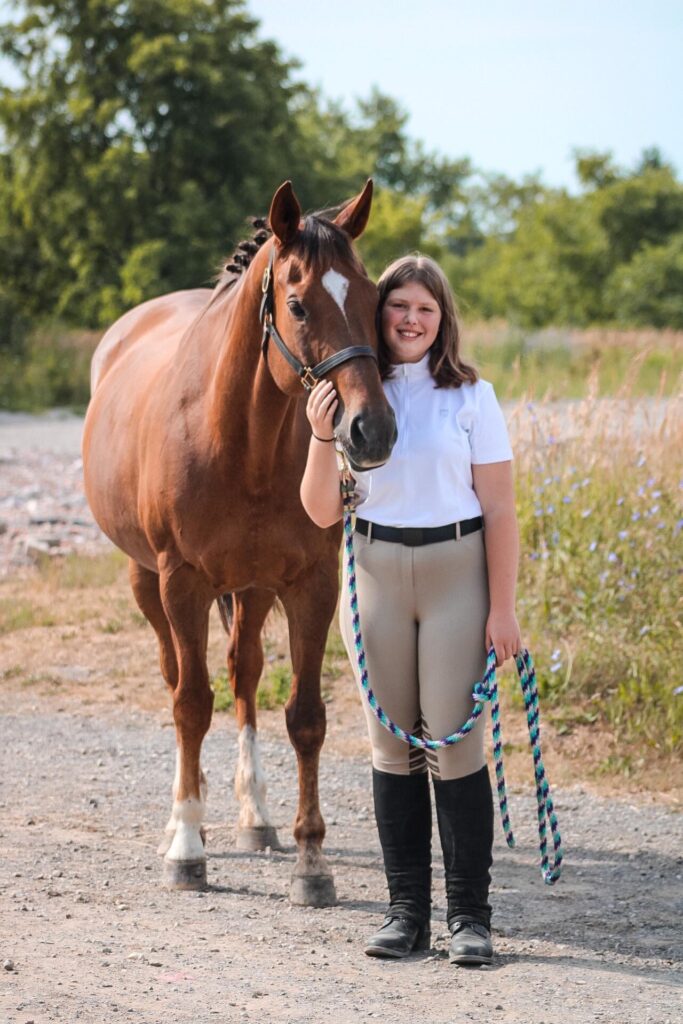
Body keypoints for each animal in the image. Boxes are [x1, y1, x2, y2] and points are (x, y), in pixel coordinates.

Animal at [82, 180, 397, 906]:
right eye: (298, 304)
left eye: (373, 299)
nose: (372, 431)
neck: (236, 438)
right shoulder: (182, 582)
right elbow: (191, 705)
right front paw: (187, 849)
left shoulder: (310, 583)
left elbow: (304, 715)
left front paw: (312, 863)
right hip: (148, 581)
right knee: (179, 679)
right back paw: (185, 815)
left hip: (252, 589)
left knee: (244, 673)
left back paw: (255, 817)